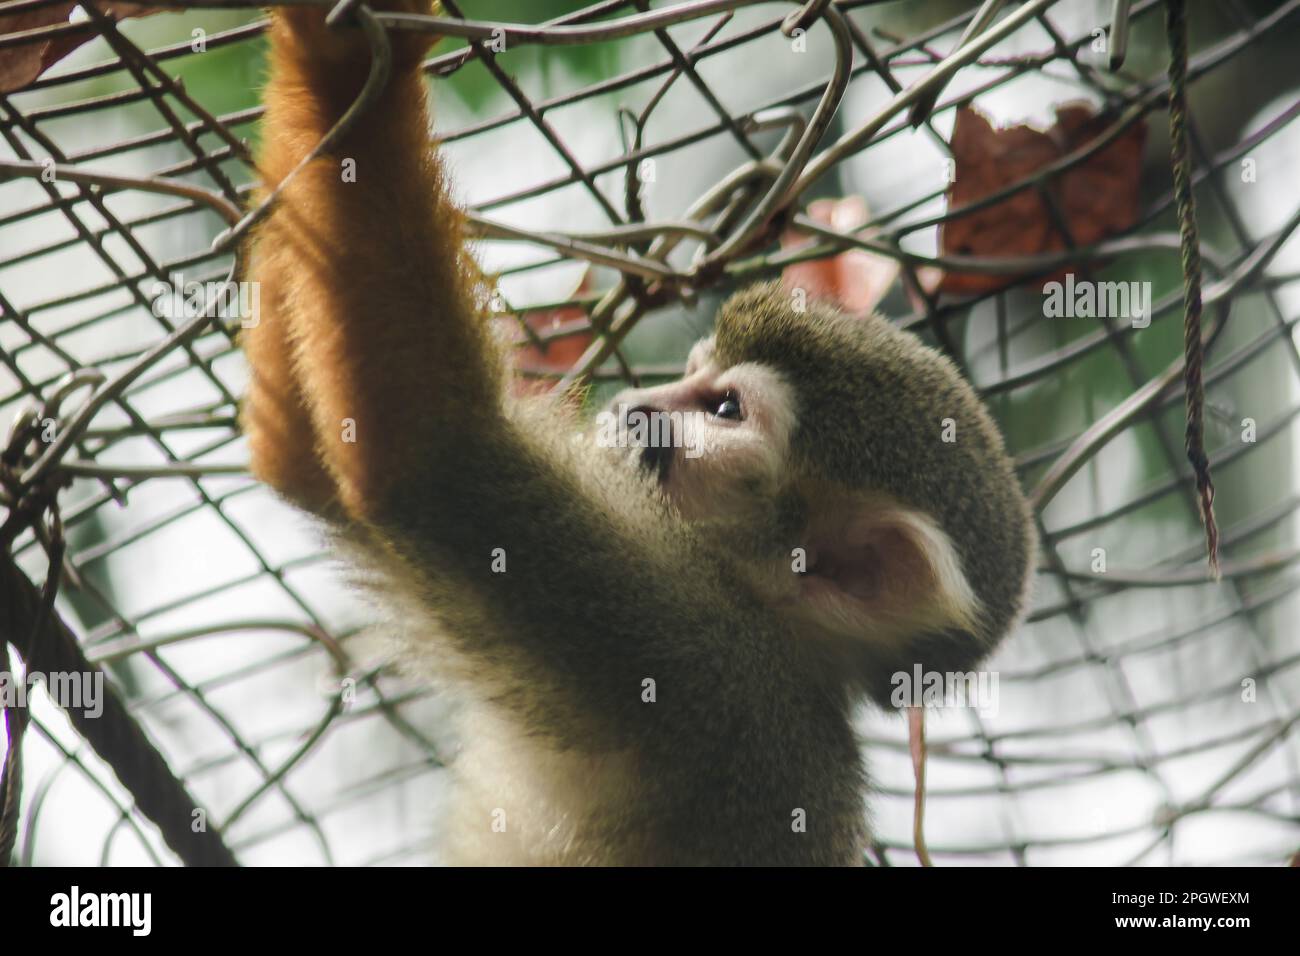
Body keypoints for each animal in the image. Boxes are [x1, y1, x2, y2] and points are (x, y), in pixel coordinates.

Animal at [241, 2, 1037, 866]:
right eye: (691, 373)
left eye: (723, 412)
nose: (637, 404)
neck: (782, 630)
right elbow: (304, 460)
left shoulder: (696, 655)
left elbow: (424, 452)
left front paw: (348, 60)